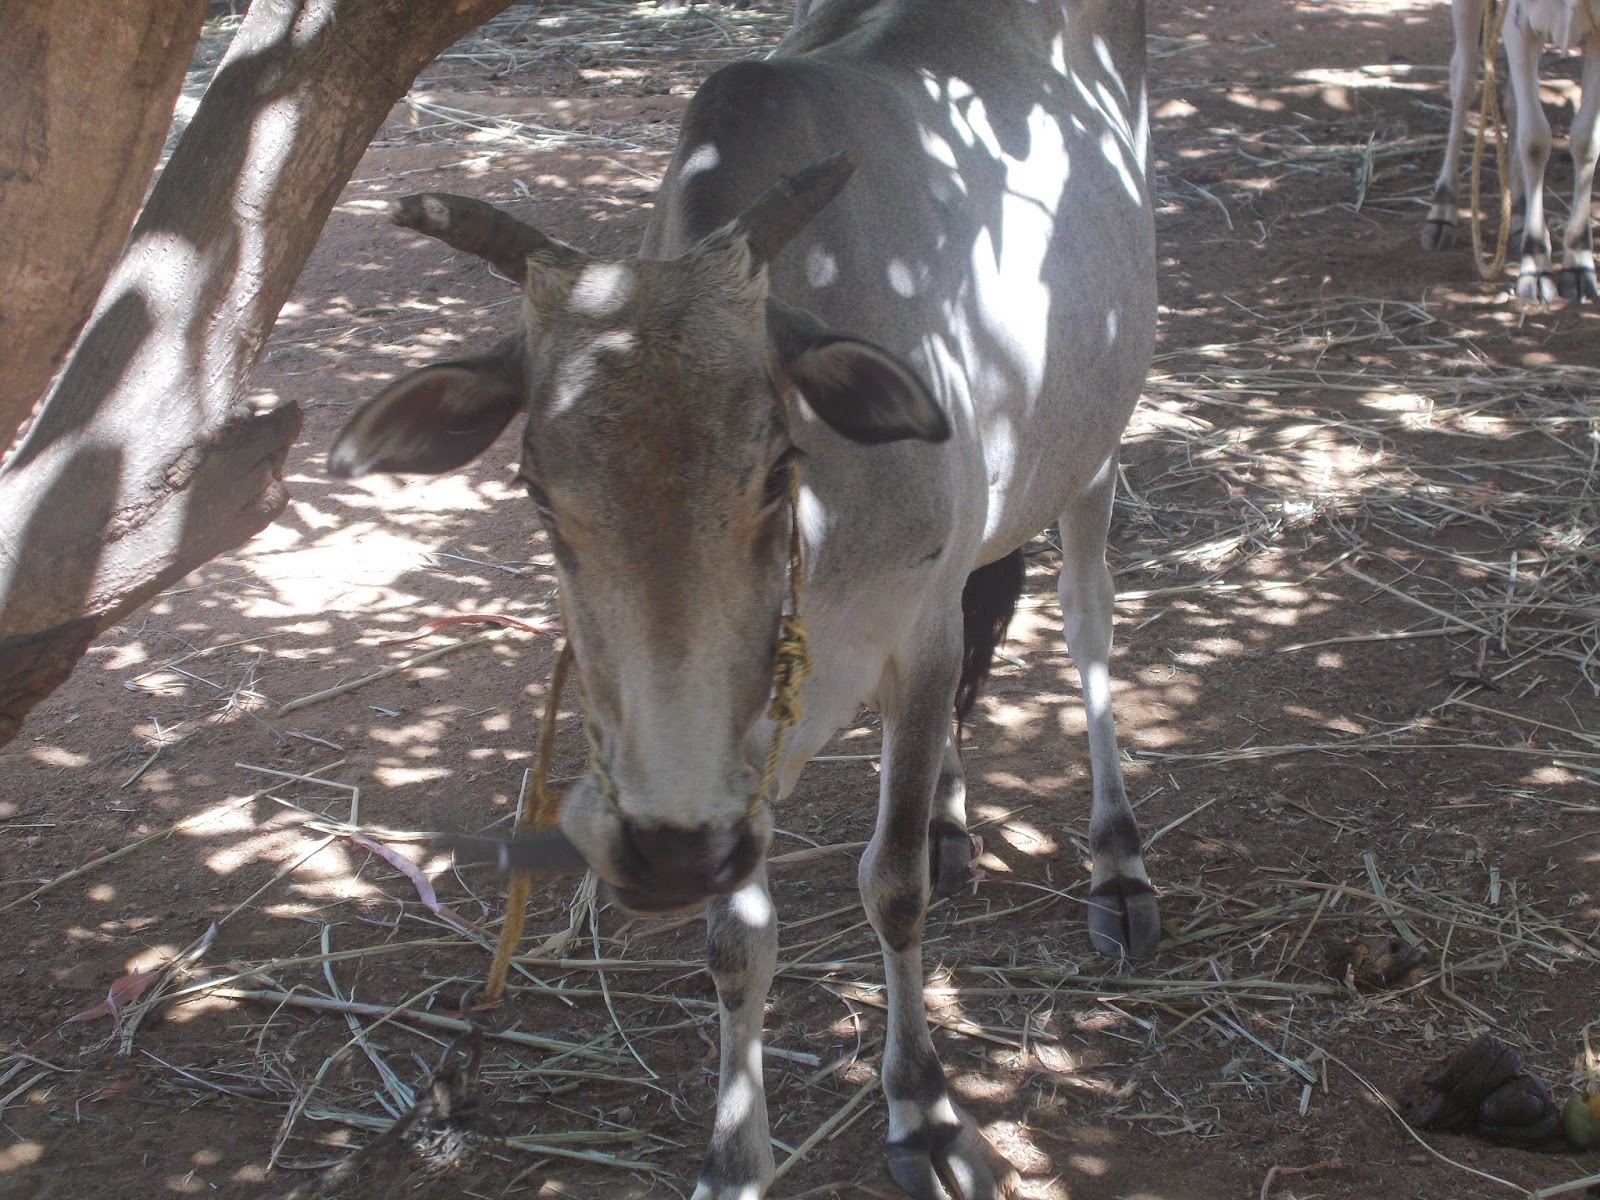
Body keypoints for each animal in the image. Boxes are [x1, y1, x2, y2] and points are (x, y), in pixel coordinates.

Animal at [328, 0, 1157, 1195]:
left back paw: (1118, 863)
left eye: (775, 467)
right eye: (536, 487)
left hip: (1095, 442)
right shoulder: (735, 753)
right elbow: (735, 943)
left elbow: (891, 885)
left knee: (1089, 626)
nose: (663, 851)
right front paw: (734, 1151)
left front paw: (924, 1111)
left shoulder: (913, 634)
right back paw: (957, 822)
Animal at [1422, 0, 1600, 301]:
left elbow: (1586, 141)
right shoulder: (1518, 26)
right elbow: (1535, 141)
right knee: (1463, 77)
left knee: (1512, 100)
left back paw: (1518, 210)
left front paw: (1578, 262)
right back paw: (1444, 209)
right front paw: (1536, 263)